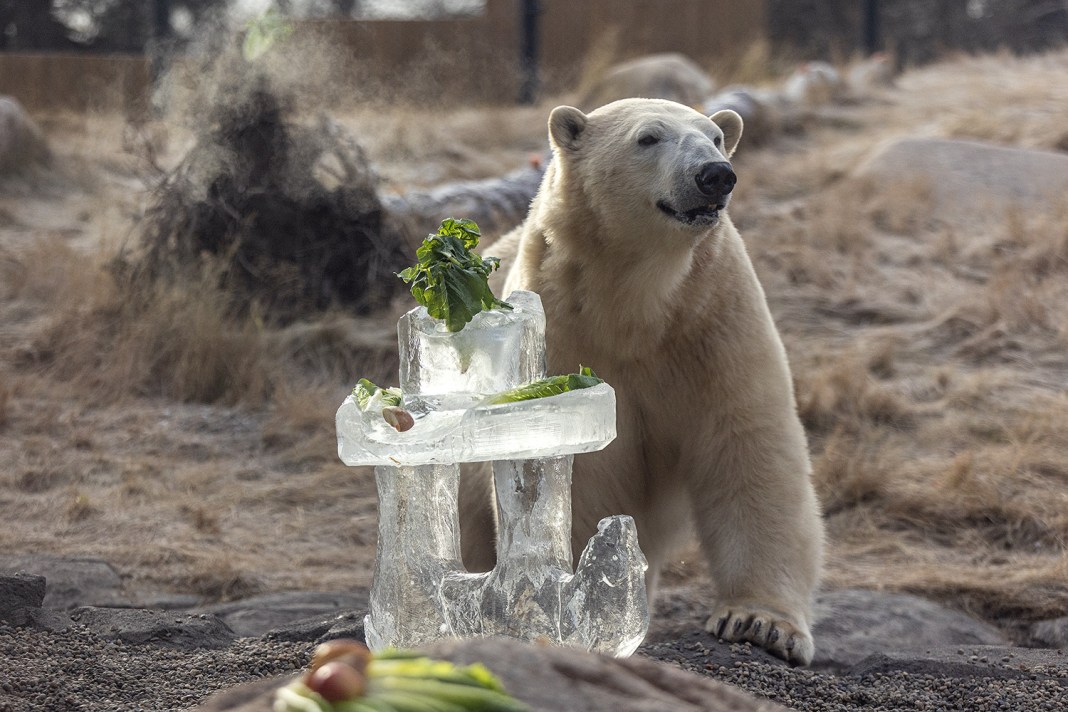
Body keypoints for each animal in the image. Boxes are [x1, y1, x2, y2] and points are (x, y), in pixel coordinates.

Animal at [461, 98, 824, 665]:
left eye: (717, 136)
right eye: (648, 138)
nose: (715, 175)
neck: (636, 303)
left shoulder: (716, 321)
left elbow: (751, 449)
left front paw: (760, 623)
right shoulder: (561, 330)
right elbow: (573, 468)